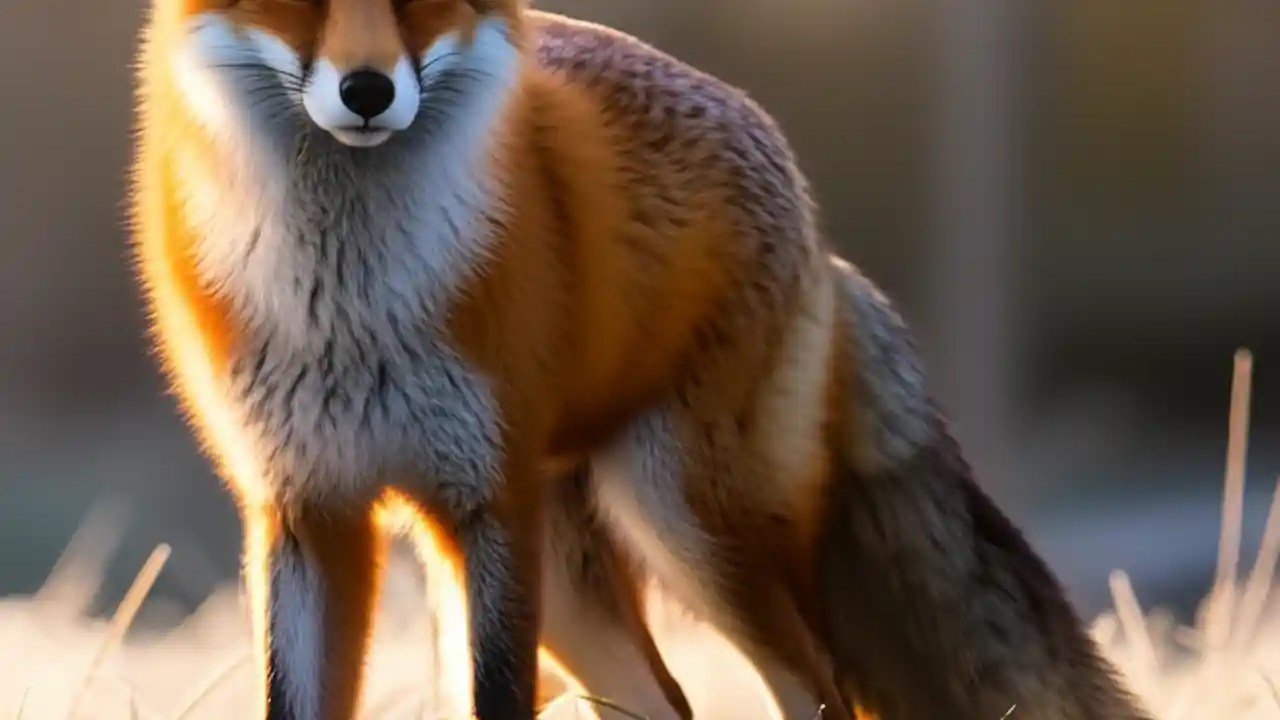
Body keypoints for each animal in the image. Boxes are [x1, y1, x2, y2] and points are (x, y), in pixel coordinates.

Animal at [130, 0, 1153, 718]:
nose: (369, 91)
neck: (350, 311)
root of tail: (821, 238)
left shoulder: (488, 506)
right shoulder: (305, 512)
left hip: (682, 522)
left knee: (819, 693)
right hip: (571, 584)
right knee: (668, 706)